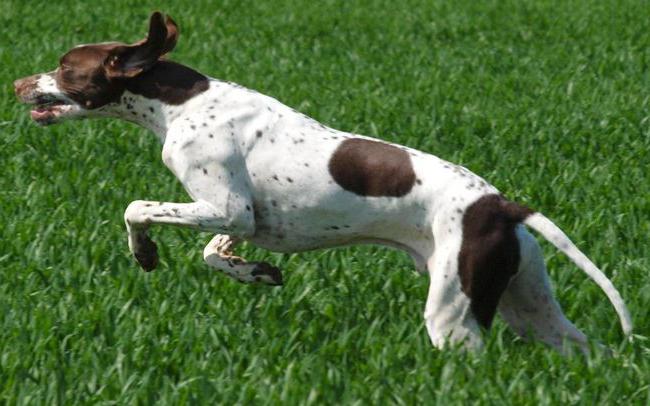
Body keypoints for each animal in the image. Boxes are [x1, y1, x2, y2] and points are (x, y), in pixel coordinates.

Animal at [15, 11, 632, 352]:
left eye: (65, 67)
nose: (18, 82)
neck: (182, 102)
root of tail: (502, 205)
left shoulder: (227, 205)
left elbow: (136, 207)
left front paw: (145, 253)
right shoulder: (247, 220)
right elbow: (217, 252)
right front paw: (255, 273)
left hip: (455, 317)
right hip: (530, 306)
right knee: (584, 348)